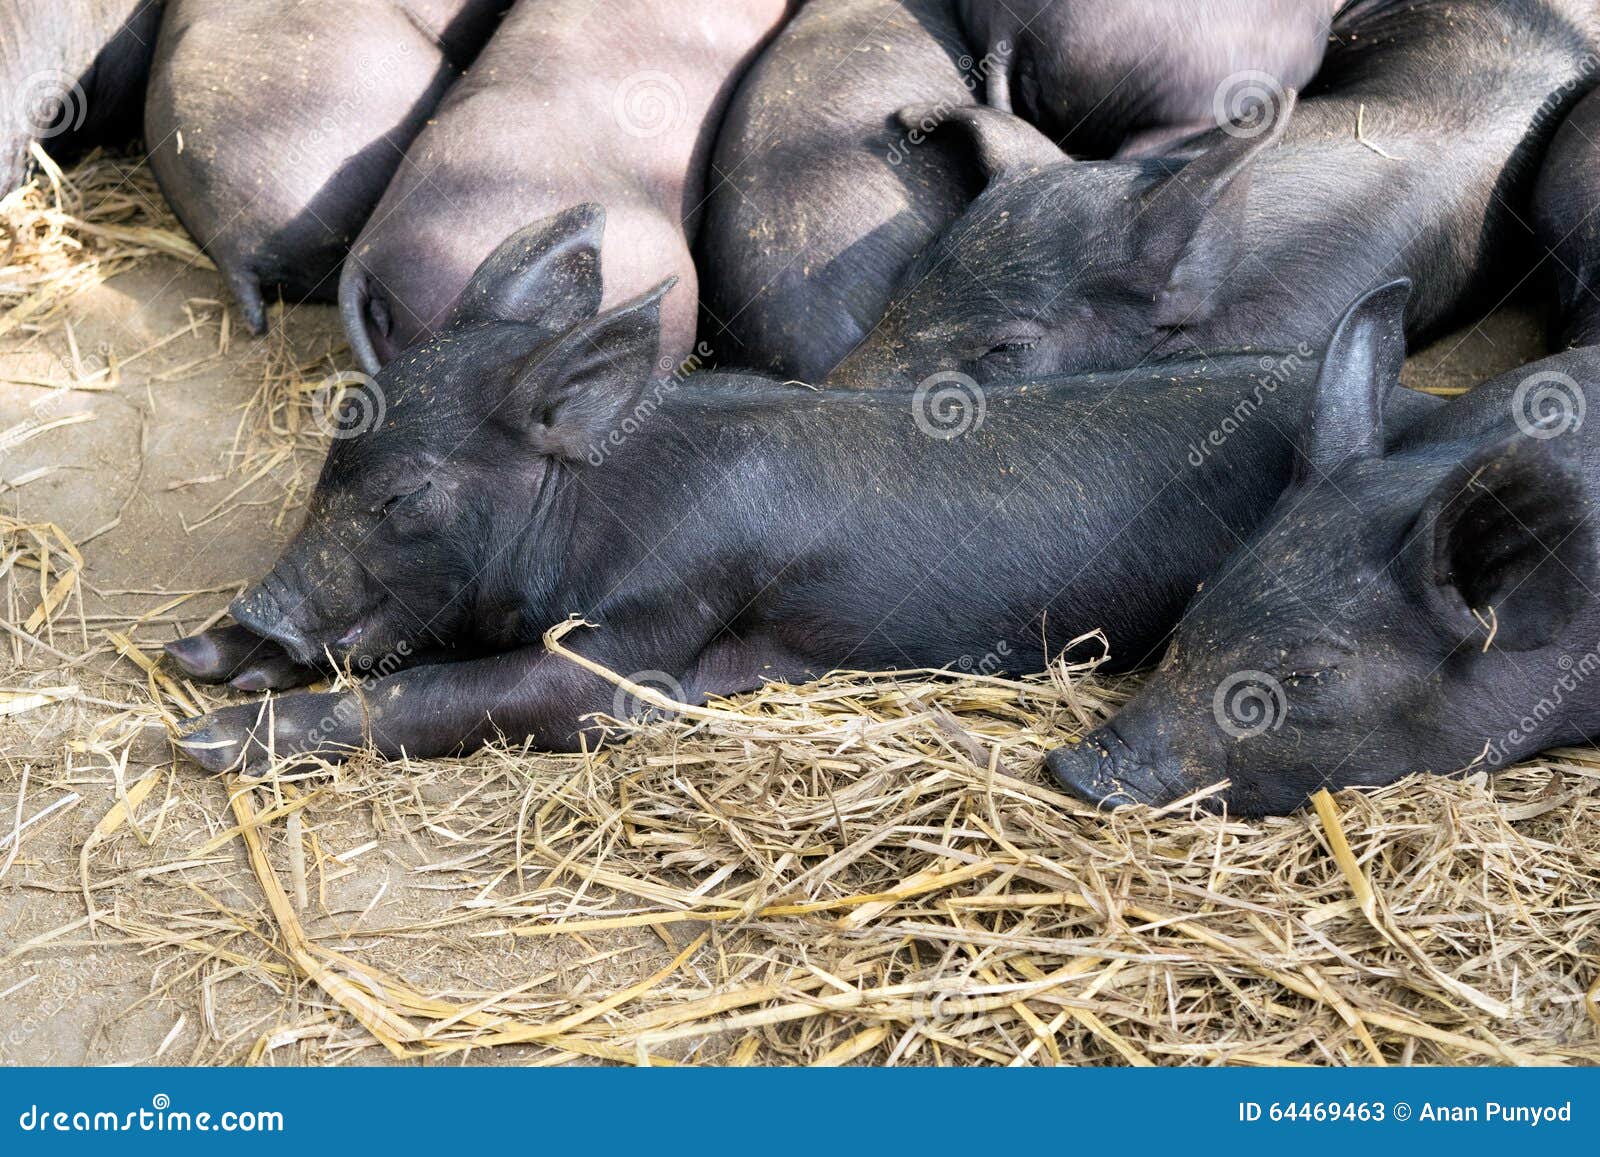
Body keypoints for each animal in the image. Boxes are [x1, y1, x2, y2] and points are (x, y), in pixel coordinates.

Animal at [165, 213, 1436, 773]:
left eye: (405, 499)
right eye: (332, 462)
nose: (255, 609)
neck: (593, 512)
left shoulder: (651, 628)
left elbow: (445, 689)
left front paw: (204, 738)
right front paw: (205, 665)